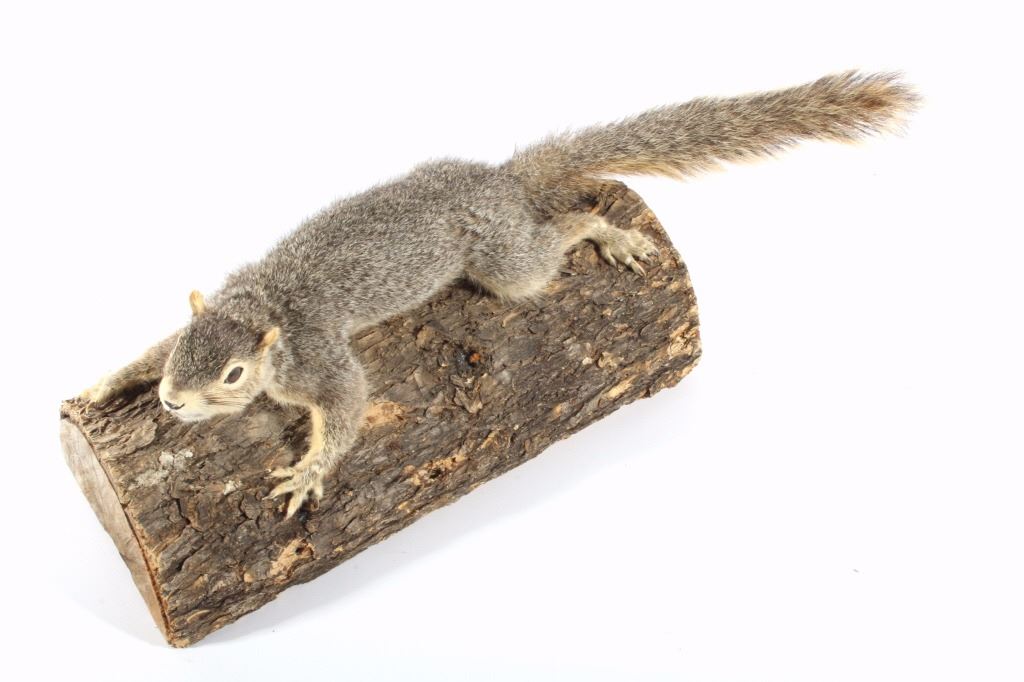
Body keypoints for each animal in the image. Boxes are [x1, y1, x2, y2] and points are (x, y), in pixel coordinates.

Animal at [82, 71, 917, 518]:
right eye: (184, 359)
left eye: (231, 376)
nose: (172, 403)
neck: (263, 309)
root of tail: (502, 182)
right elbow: (142, 351)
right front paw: (104, 386)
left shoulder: (318, 355)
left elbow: (348, 403)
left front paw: (310, 471)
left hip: (505, 261)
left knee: (556, 237)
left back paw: (603, 232)